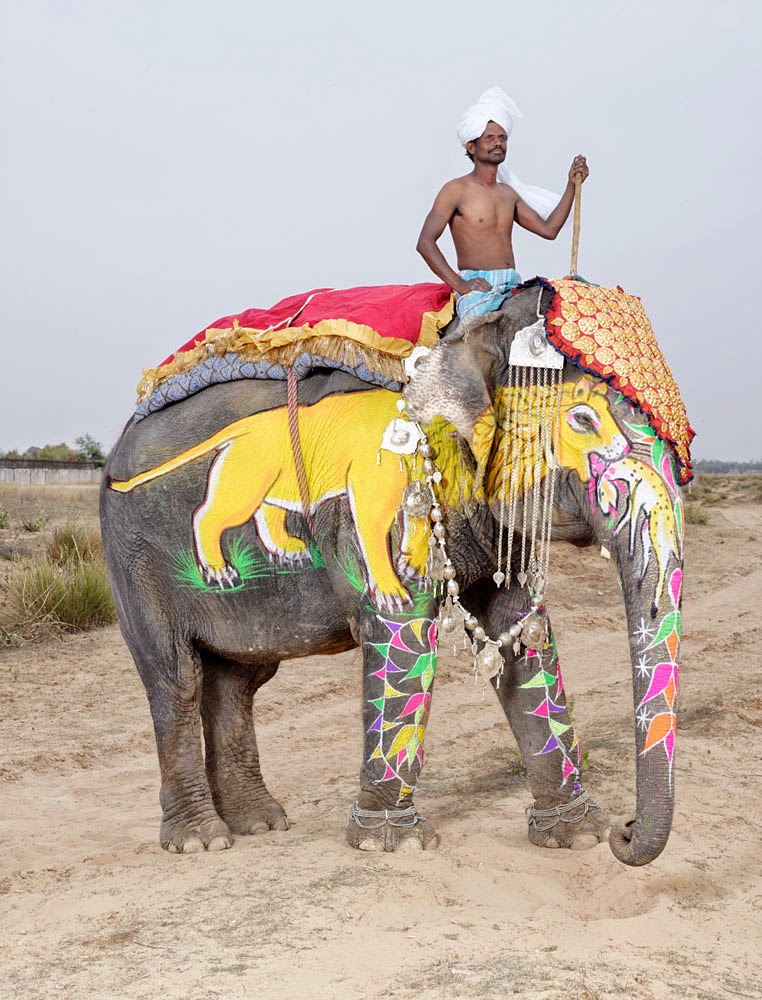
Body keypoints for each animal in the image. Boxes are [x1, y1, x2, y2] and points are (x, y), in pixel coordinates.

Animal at [100, 281, 686, 866]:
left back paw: (260, 824)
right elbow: (401, 630)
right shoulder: (388, 480)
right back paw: (202, 839)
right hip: (135, 555)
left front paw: (577, 836)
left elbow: (520, 633)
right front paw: (392, 844)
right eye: (582, 418)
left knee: (238, 679)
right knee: (176, 673)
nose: (626, 832)